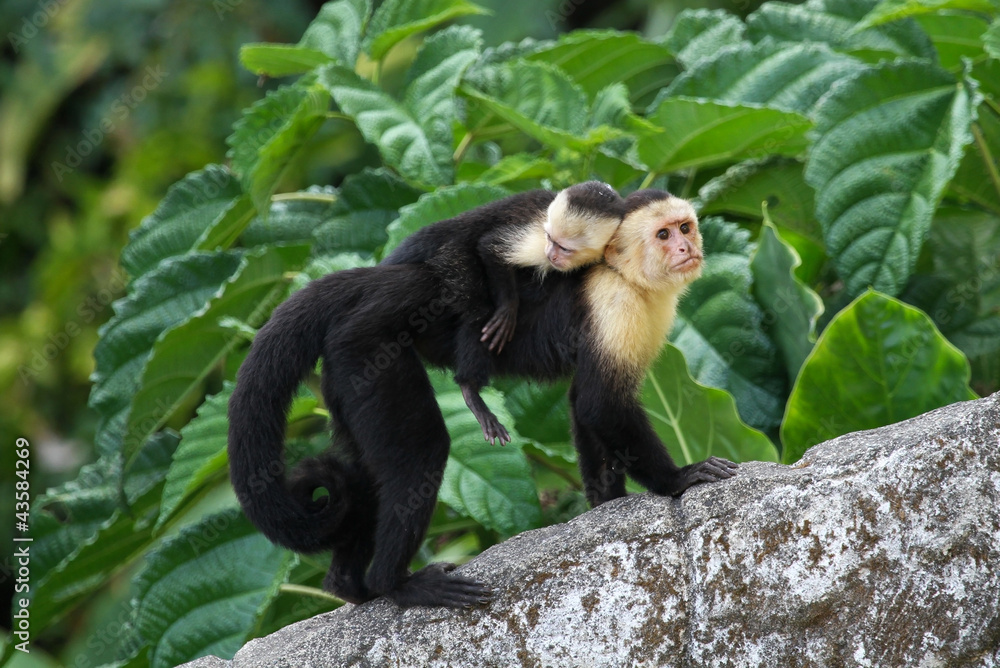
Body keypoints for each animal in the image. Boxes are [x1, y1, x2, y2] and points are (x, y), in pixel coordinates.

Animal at [382, 181, 625, 446]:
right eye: (550, 239)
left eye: (564, 248)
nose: (551, 255)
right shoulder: (537, 235)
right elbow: (491, 247)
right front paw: (508, 309)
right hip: (449, 257)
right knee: (476, 306)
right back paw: (470, 388)